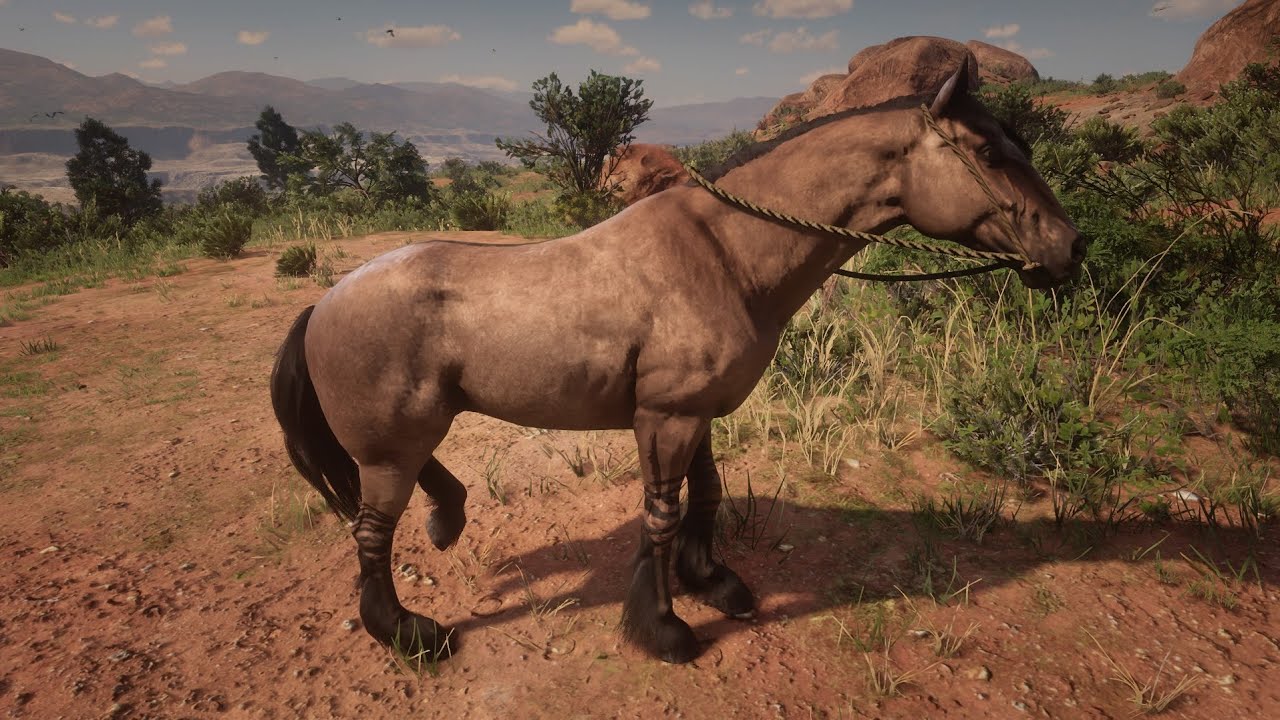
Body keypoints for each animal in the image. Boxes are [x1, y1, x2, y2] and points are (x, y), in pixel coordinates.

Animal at [270, 57, 1085, 665]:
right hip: (388, 451)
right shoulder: (664, 419)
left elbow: (709, 493)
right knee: (372, 535)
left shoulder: (696, 413)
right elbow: (661, 515)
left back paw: (447, 517)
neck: (723, 254)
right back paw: (407, 631)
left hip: (412, 432)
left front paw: (712, 581)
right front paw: (663, 625)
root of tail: (323, 305)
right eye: (990, 153)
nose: (1070, 247)